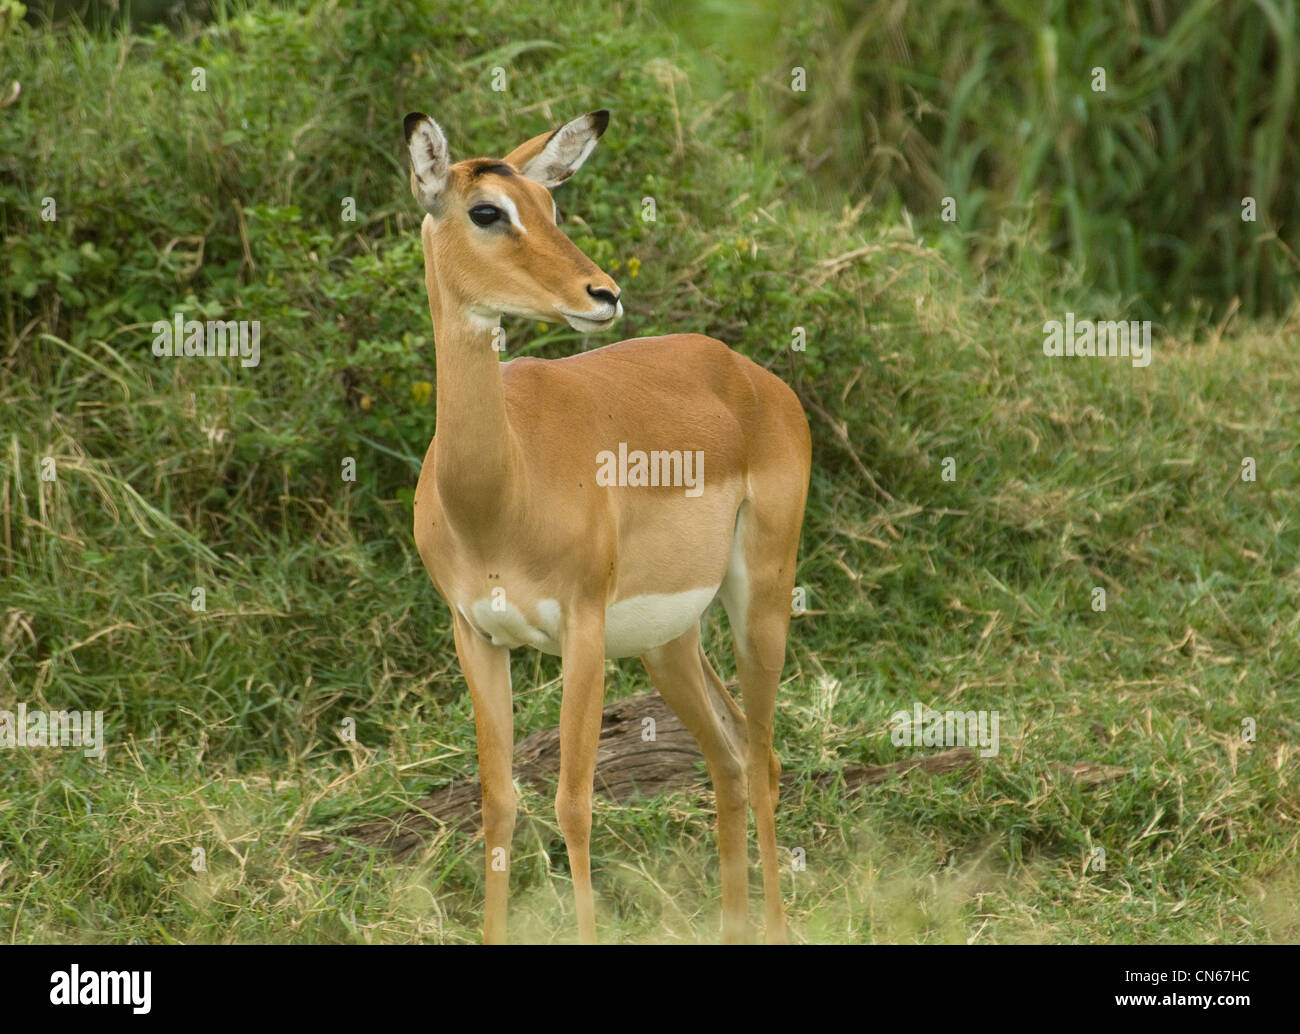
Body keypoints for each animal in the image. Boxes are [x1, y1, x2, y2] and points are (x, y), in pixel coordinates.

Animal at [403, 107, 811, 944]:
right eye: (487, 211)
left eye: (551, 205)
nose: (603, 293)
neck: (498, 496)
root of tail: (750, 375)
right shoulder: (475, 634)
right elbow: (498, 804)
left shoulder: (581, 628)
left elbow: (573, 803)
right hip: (668, 640)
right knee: (727, 756)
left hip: (760, 598)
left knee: (762, 759)